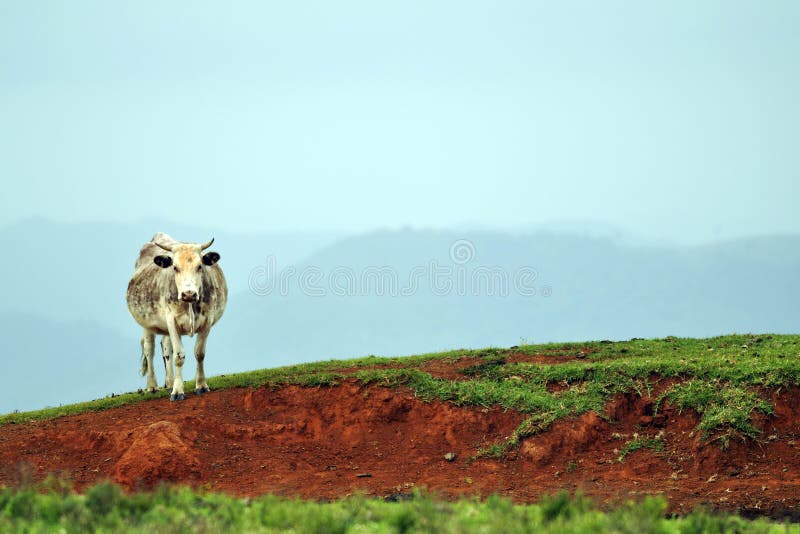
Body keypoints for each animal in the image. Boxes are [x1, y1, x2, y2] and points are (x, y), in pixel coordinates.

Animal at [126, 233, 228, 401]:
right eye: (175, 267)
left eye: (200, 266)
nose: (189, 293)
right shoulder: (172, 321)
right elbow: (179, 357)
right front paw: (178, 391)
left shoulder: (207, 321)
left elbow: (199, 353)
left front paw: (201, 385)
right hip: (147, 325)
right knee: (149, 350)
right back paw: (152, 386)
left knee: (166, 348)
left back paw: (169, 382)